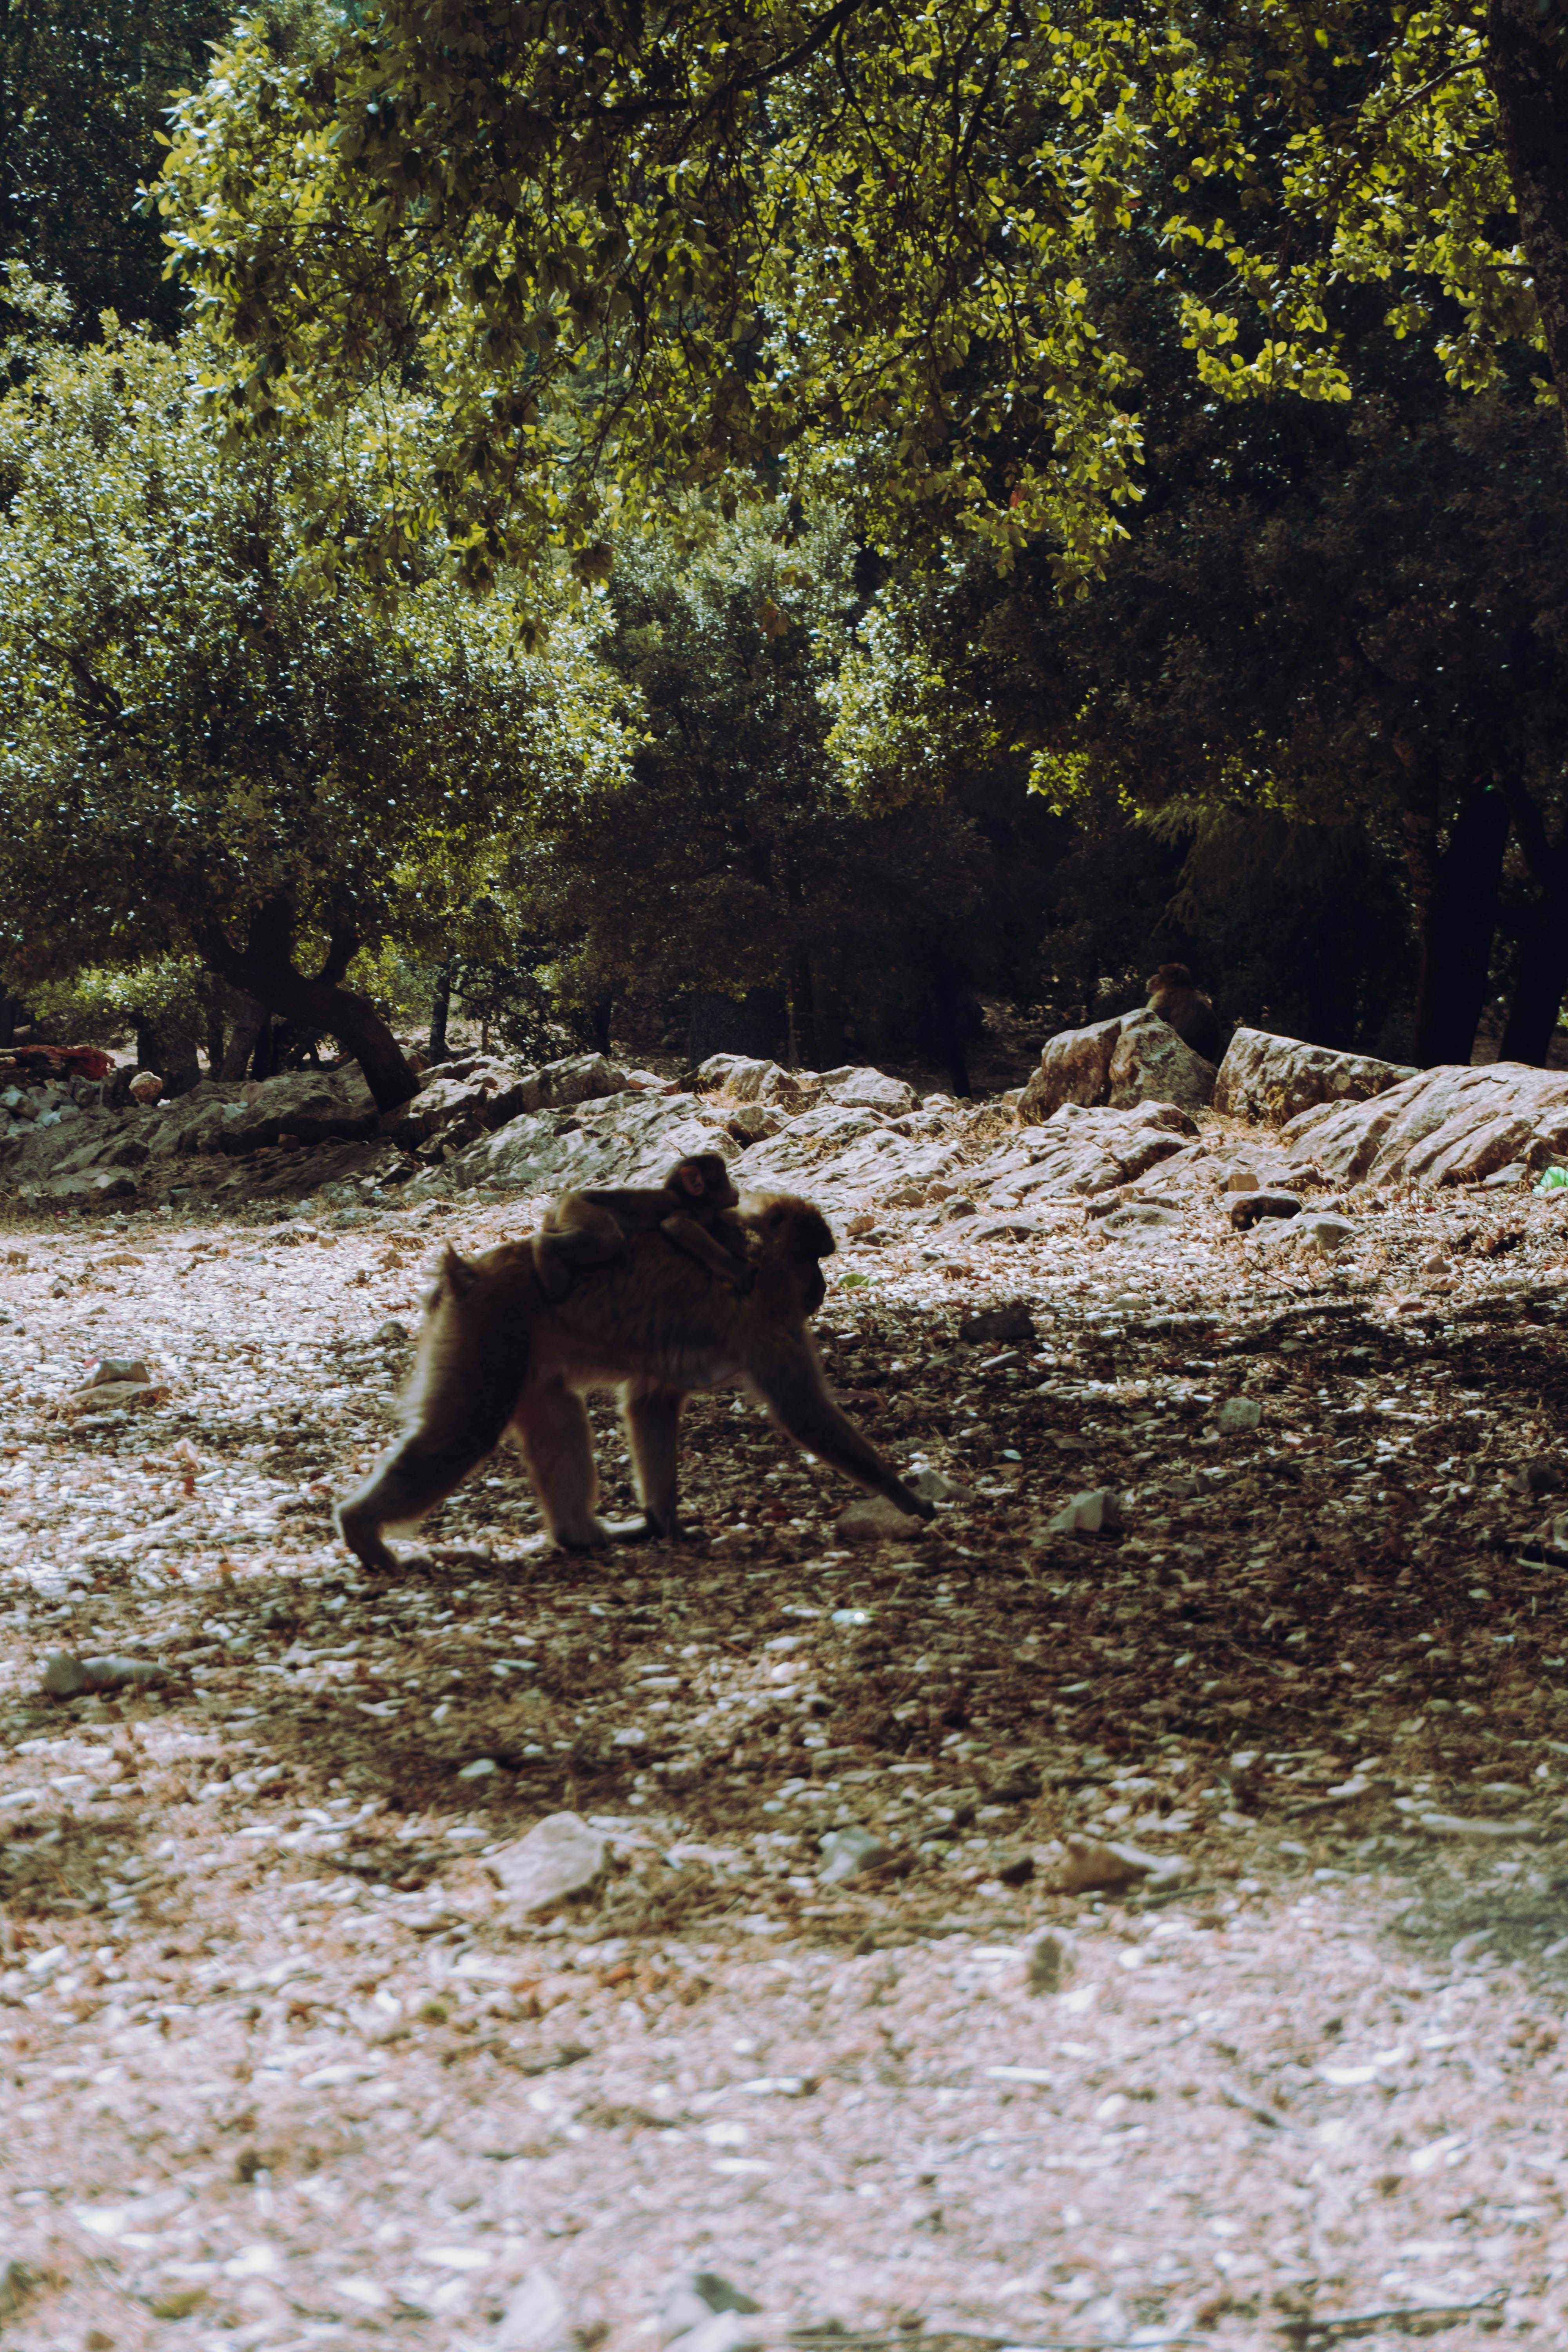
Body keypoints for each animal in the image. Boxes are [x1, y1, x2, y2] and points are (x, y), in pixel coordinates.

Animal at [335, 1193, 935, 1573]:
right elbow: (803, 1410)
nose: (823, 1286)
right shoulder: (766, 1312)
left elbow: (651, 1403)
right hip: (487, 1330)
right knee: (466, 1430)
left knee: (555, 1411)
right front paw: (906, 1497)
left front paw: (664, 1522)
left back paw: (581, 1536)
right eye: (814, 1258)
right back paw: (360, 1527)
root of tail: (469, 1274)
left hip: (516, 1348)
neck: (756, 1249)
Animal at [531, 1151, 752, 1302]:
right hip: (582, 1210)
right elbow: (676, 1225)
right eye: (725, 1178)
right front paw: (738, 1271)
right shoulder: (694, 1211)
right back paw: (545, 1253)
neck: (694, 1199)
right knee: (610, 1240)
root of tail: (562, 1201)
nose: (735, 1187)